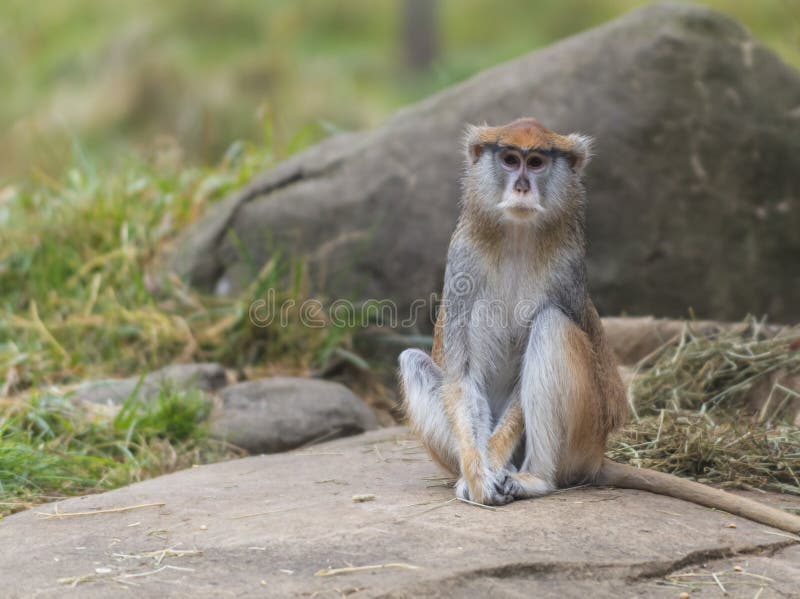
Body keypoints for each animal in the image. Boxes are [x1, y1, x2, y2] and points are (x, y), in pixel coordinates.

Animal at [398, 117, 800, 534]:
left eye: (537, 162)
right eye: (510, 159)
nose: (522, 186)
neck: (518, 237)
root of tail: (595, 456)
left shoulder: (567, 272)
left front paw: (490, 463)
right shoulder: (462, 263)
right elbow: (461, 379)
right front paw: (478, 476)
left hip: (583, 430)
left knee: (551, 326)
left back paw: (534, 478)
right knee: (411, 360)